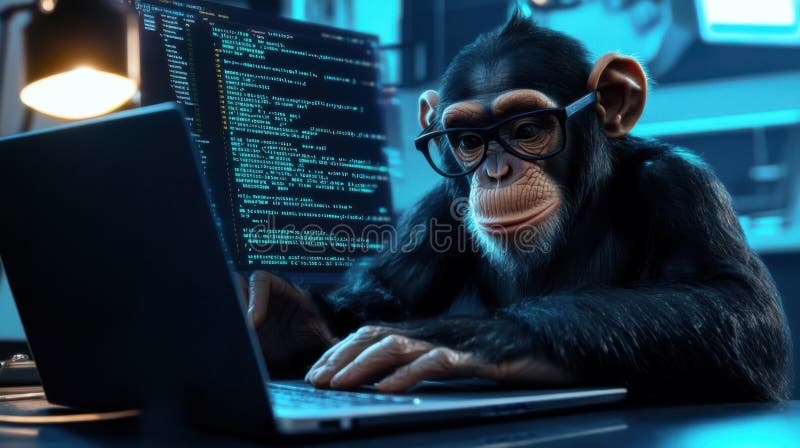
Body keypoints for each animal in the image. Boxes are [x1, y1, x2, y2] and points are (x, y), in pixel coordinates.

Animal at [241, 11, 791, 402]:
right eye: (467, 141)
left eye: (527, 129)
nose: (495, 172)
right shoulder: (435, 211)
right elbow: (387, 292)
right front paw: (286, 317)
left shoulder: (682, 185)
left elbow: (736, 303)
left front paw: (470, 337)